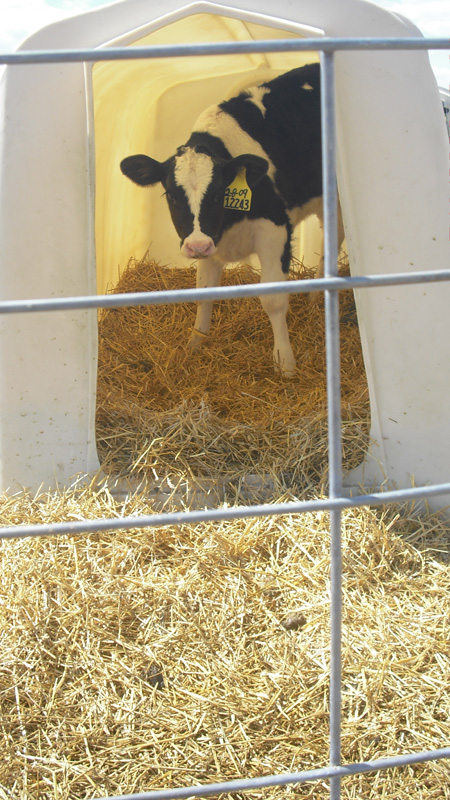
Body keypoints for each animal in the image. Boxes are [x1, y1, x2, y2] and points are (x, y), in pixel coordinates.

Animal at [120, 63, 344, 377]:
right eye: (171, 196)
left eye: (218, 193)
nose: (197, 246)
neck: (230, 223)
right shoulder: (211, 242)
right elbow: (203, 292)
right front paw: (195, 343)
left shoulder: (274, 231)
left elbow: (274, 300)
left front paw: (285, 362)